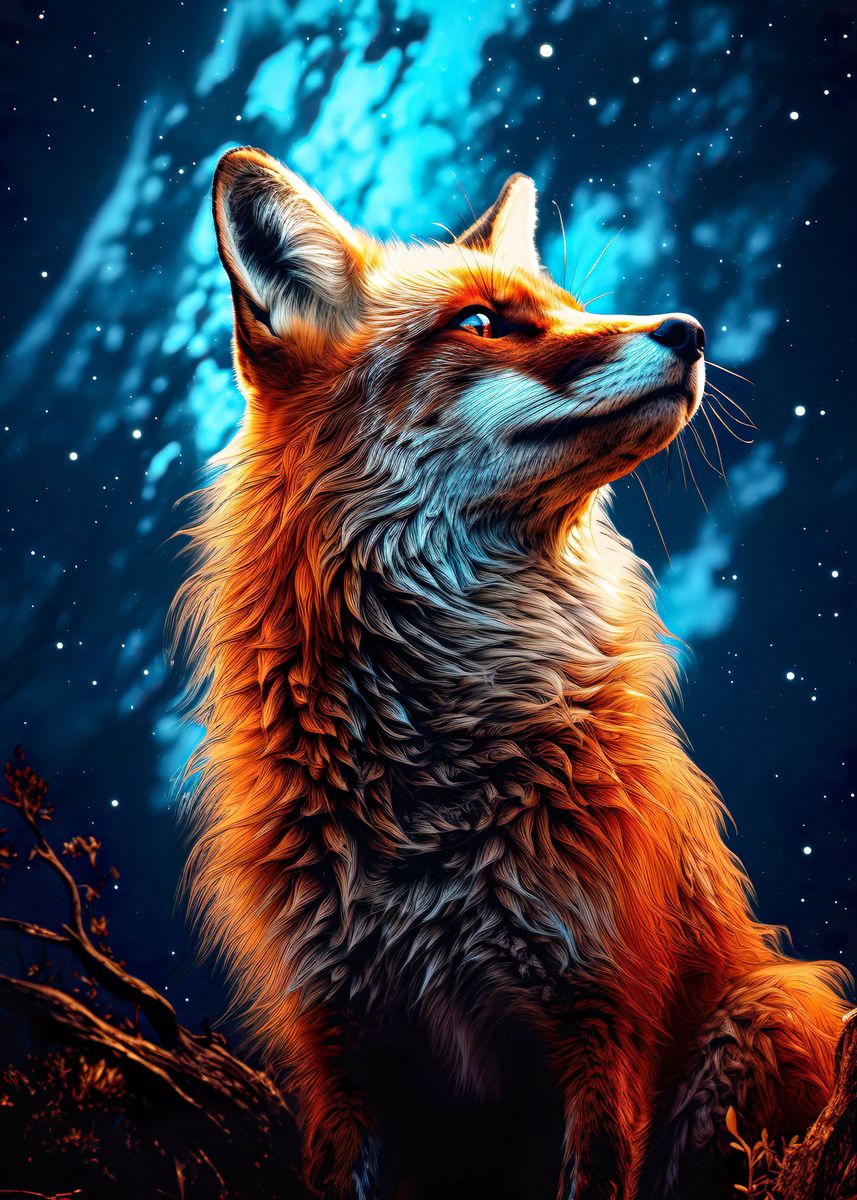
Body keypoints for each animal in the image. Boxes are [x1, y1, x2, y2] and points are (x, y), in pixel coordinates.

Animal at [172, 146, 849, 1200]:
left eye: (571, 306)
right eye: (484, 324)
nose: (690, 331)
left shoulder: (602, 1017)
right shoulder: (338, 1049)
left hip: (770, 1012)